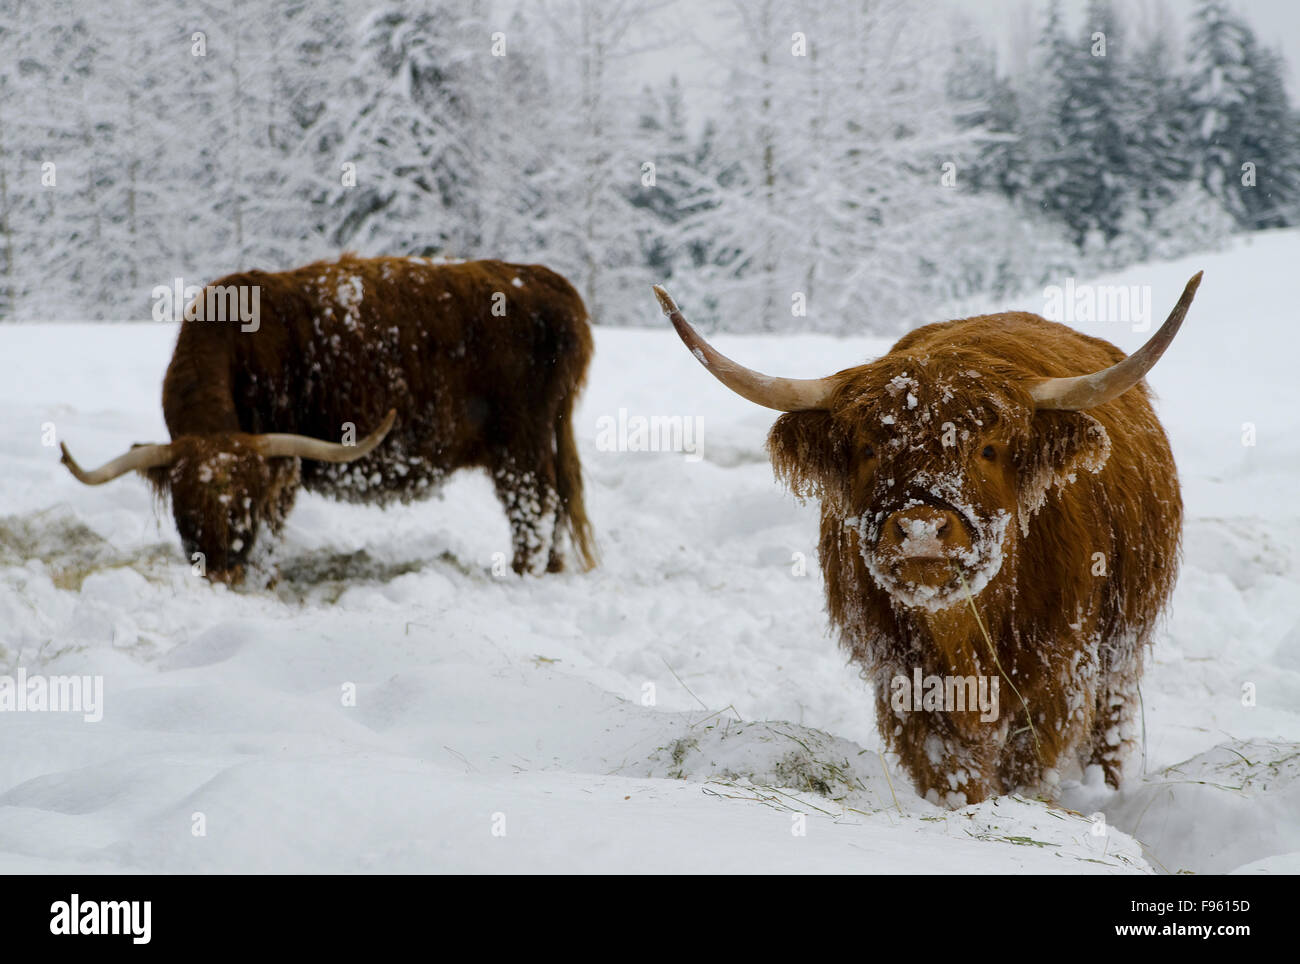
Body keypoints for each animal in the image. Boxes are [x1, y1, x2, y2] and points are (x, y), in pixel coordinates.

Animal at [59, 255, 597, 583]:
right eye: (184, 509)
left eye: (242, 506)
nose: (220, 571)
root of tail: (553, 283)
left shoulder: (281, 468)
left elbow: (273, 528)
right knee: (554, 502)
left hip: (519, 445)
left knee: (534, 508)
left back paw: (522, 573)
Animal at [654, 273, 1200, 806]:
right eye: (869, 447)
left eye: (988, 448)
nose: (920, 527)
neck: (962, 630)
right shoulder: (901, 677)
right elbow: (947, 767)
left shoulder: (1060, 670)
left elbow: (1029, 762)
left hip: (1122, 643)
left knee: (1111, 720)